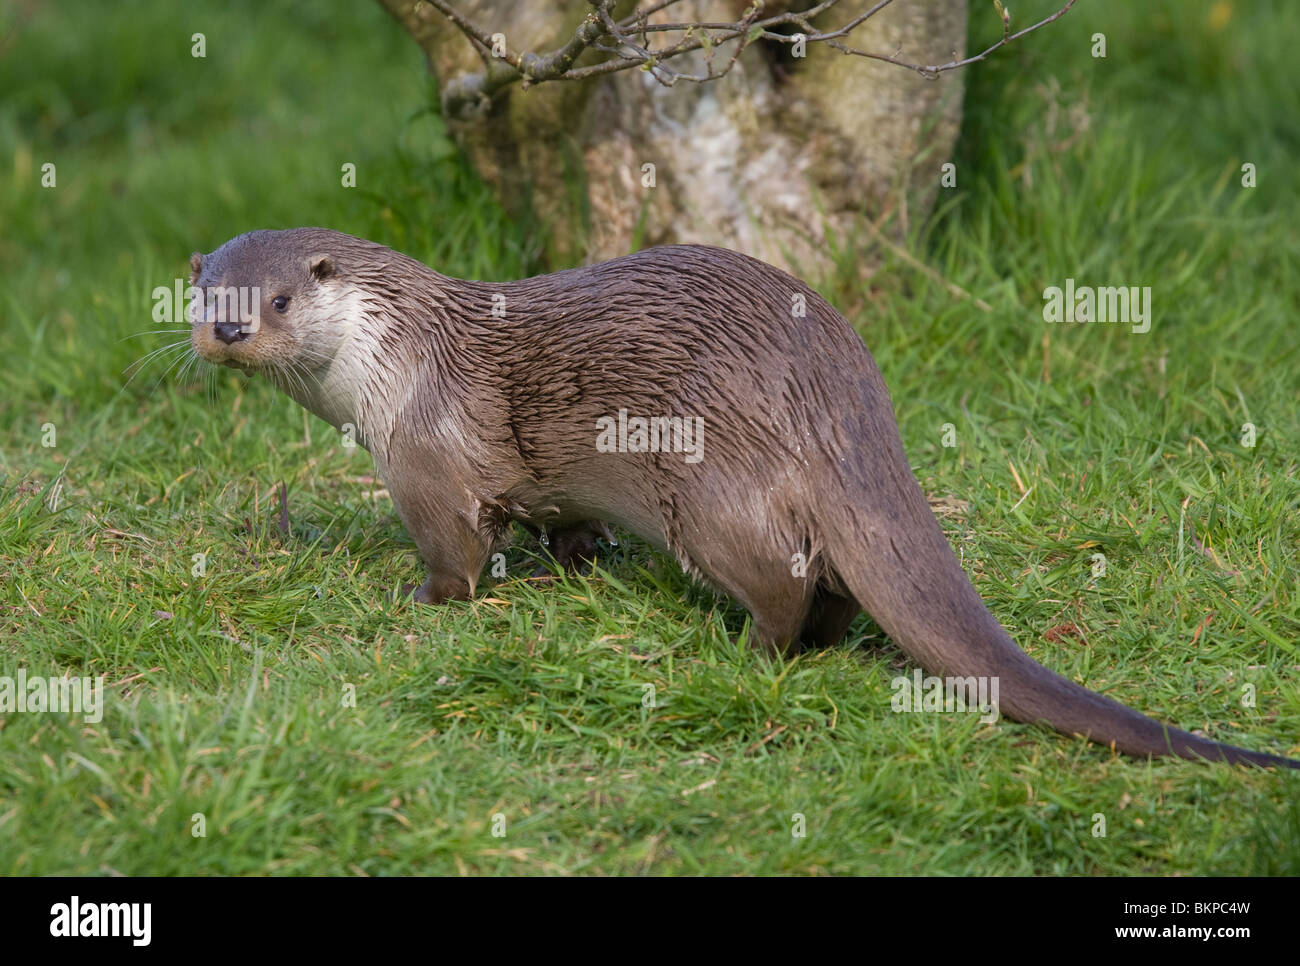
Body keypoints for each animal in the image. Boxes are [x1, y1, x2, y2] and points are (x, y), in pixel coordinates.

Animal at [187, 227, 1297, 768]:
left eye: (277, 298)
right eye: (205, 294)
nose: (229, 333)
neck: (392, 359)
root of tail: (836, 395)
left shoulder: (426, 457)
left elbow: (453, 553)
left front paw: (420, 606)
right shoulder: (540, 486)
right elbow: (559, 520)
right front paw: (574, 569)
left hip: (707, 485)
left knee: (781, 577)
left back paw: (750, 655)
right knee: (837, 584)